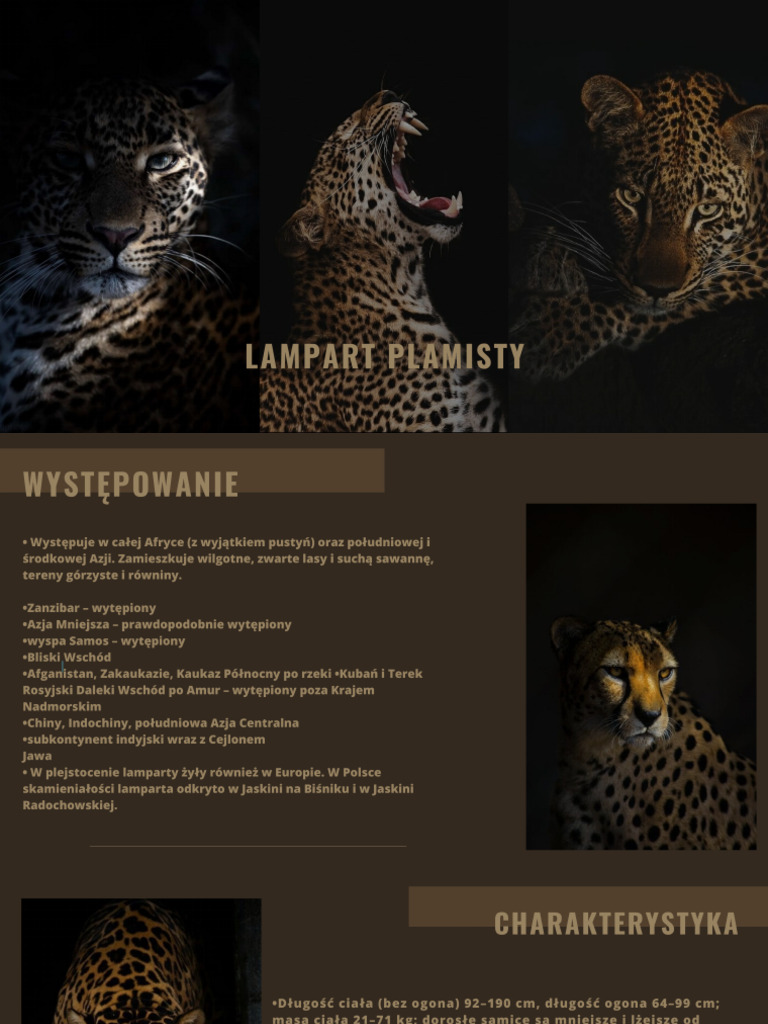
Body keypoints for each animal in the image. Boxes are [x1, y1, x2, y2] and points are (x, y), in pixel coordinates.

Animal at [511, 69, 768, 381]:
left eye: (708, 209)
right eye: (631, 196)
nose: (657, 290)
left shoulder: (753, 267)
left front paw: (552, 328)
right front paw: (546, 257)